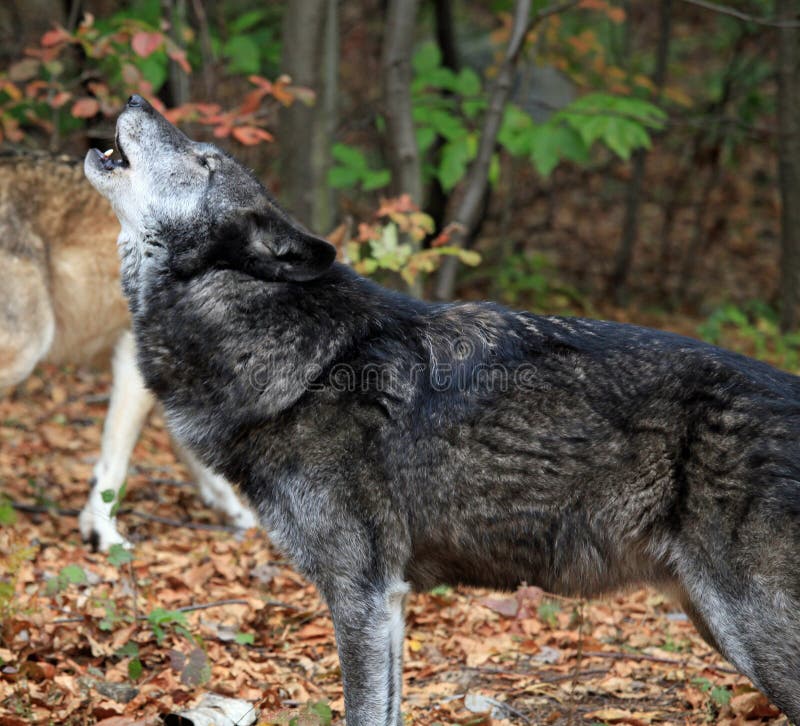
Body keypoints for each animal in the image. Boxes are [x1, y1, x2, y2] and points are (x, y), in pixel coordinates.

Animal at [0, 151, 255, 550]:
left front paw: (237, 514)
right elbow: (114, 462)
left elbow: (199, 463)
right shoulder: (131, 360)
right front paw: (102, 534)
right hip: (26, 349)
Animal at [85, 95, 800, 725]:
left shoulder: (361, 596)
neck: (296, 352)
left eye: (205, 160)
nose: (135, 98)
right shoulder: (387, 605)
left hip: (748, 627)